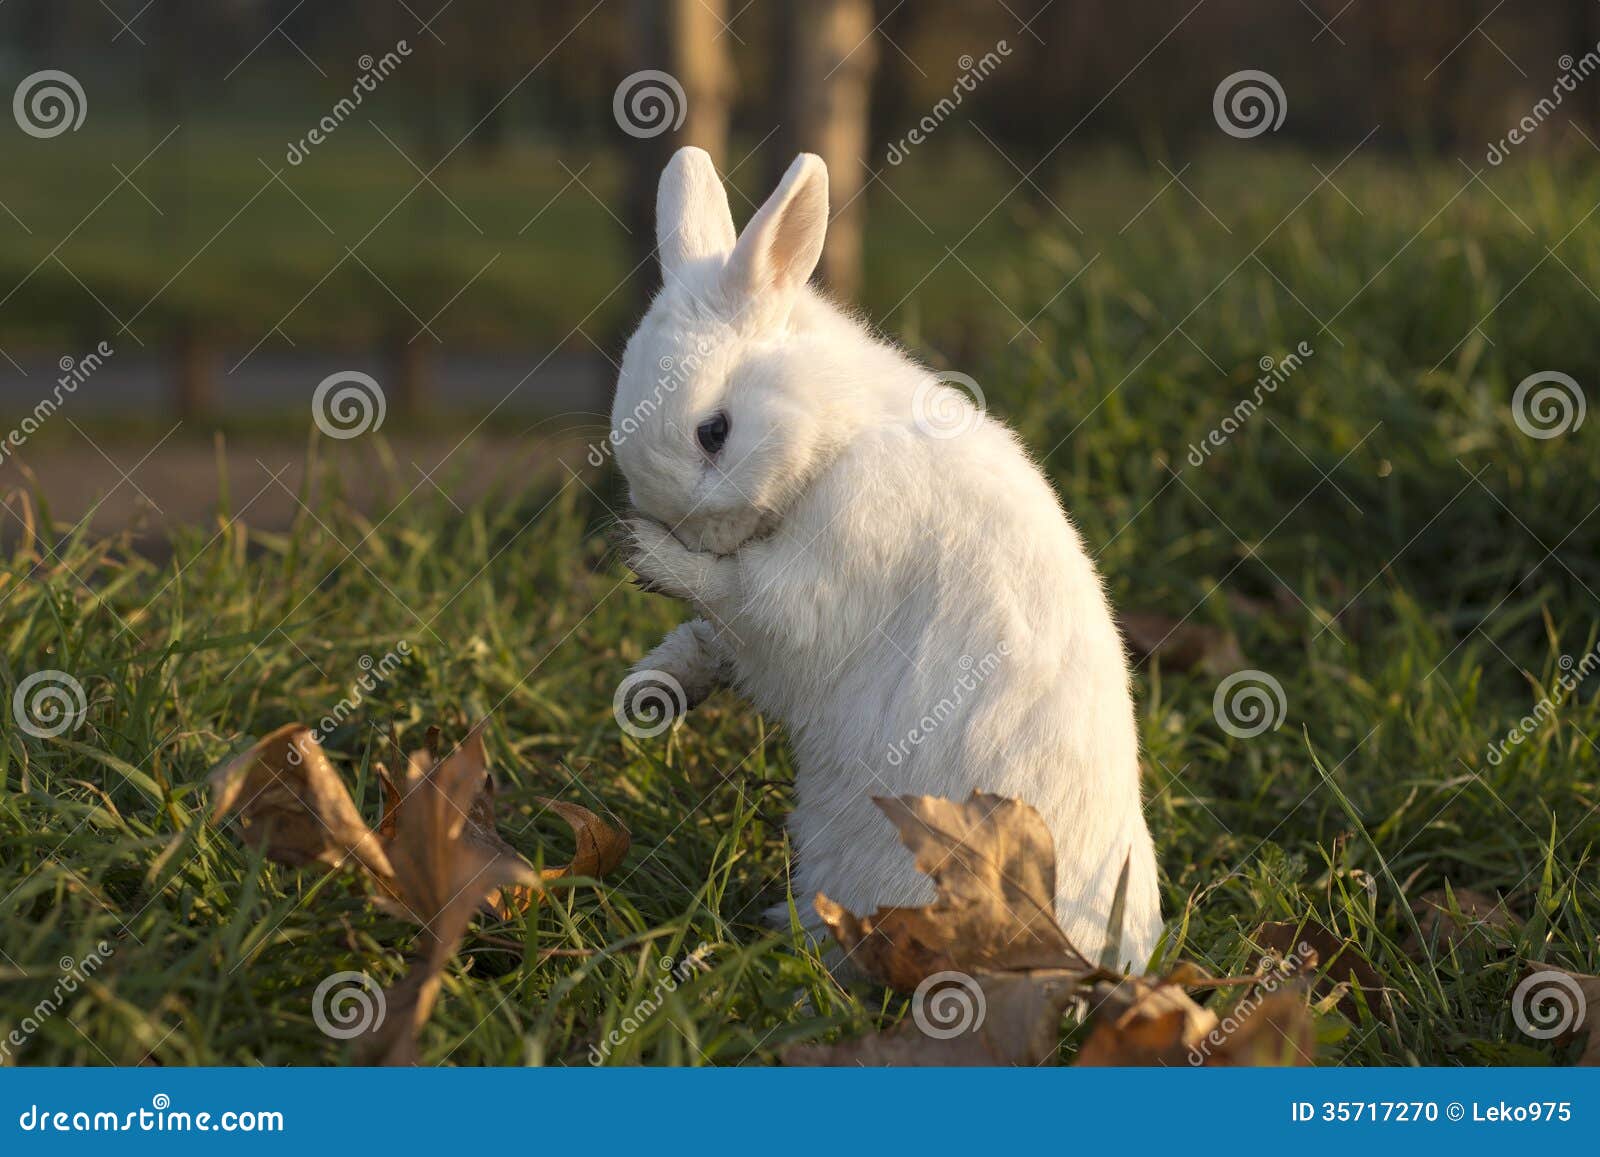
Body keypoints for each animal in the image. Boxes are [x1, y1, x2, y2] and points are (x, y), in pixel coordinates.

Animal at [609, 145, 1162, 969]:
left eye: (715, 432)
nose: (685, 529)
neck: (838, 433)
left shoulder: (815, 578)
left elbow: (739, 596)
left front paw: (647, 555)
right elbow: (709, 635)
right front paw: (654, 683)